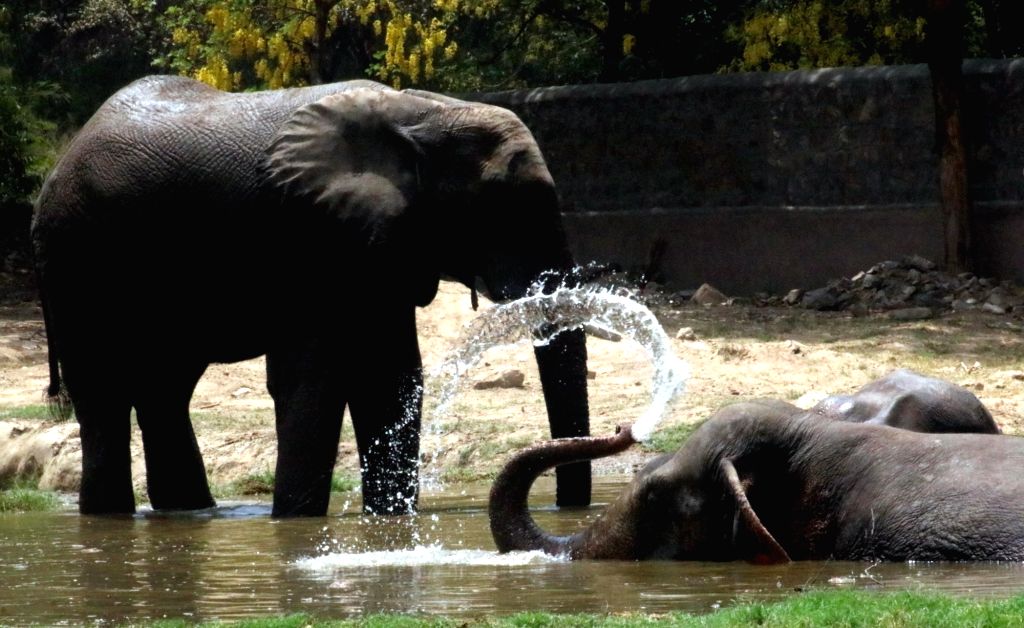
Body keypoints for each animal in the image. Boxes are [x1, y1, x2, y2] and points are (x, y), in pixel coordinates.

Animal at [32, 75, 591, 517]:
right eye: (508, 209)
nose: (564, 509)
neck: (425, 112)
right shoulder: (311, 236)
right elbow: (315, 376)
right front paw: (296, 524)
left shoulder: (379, 245)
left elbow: (389, 376)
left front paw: (387, 521)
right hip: (76, 257)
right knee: (103, 392)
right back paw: (108, 518)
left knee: (164, 388)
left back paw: (187, 513)